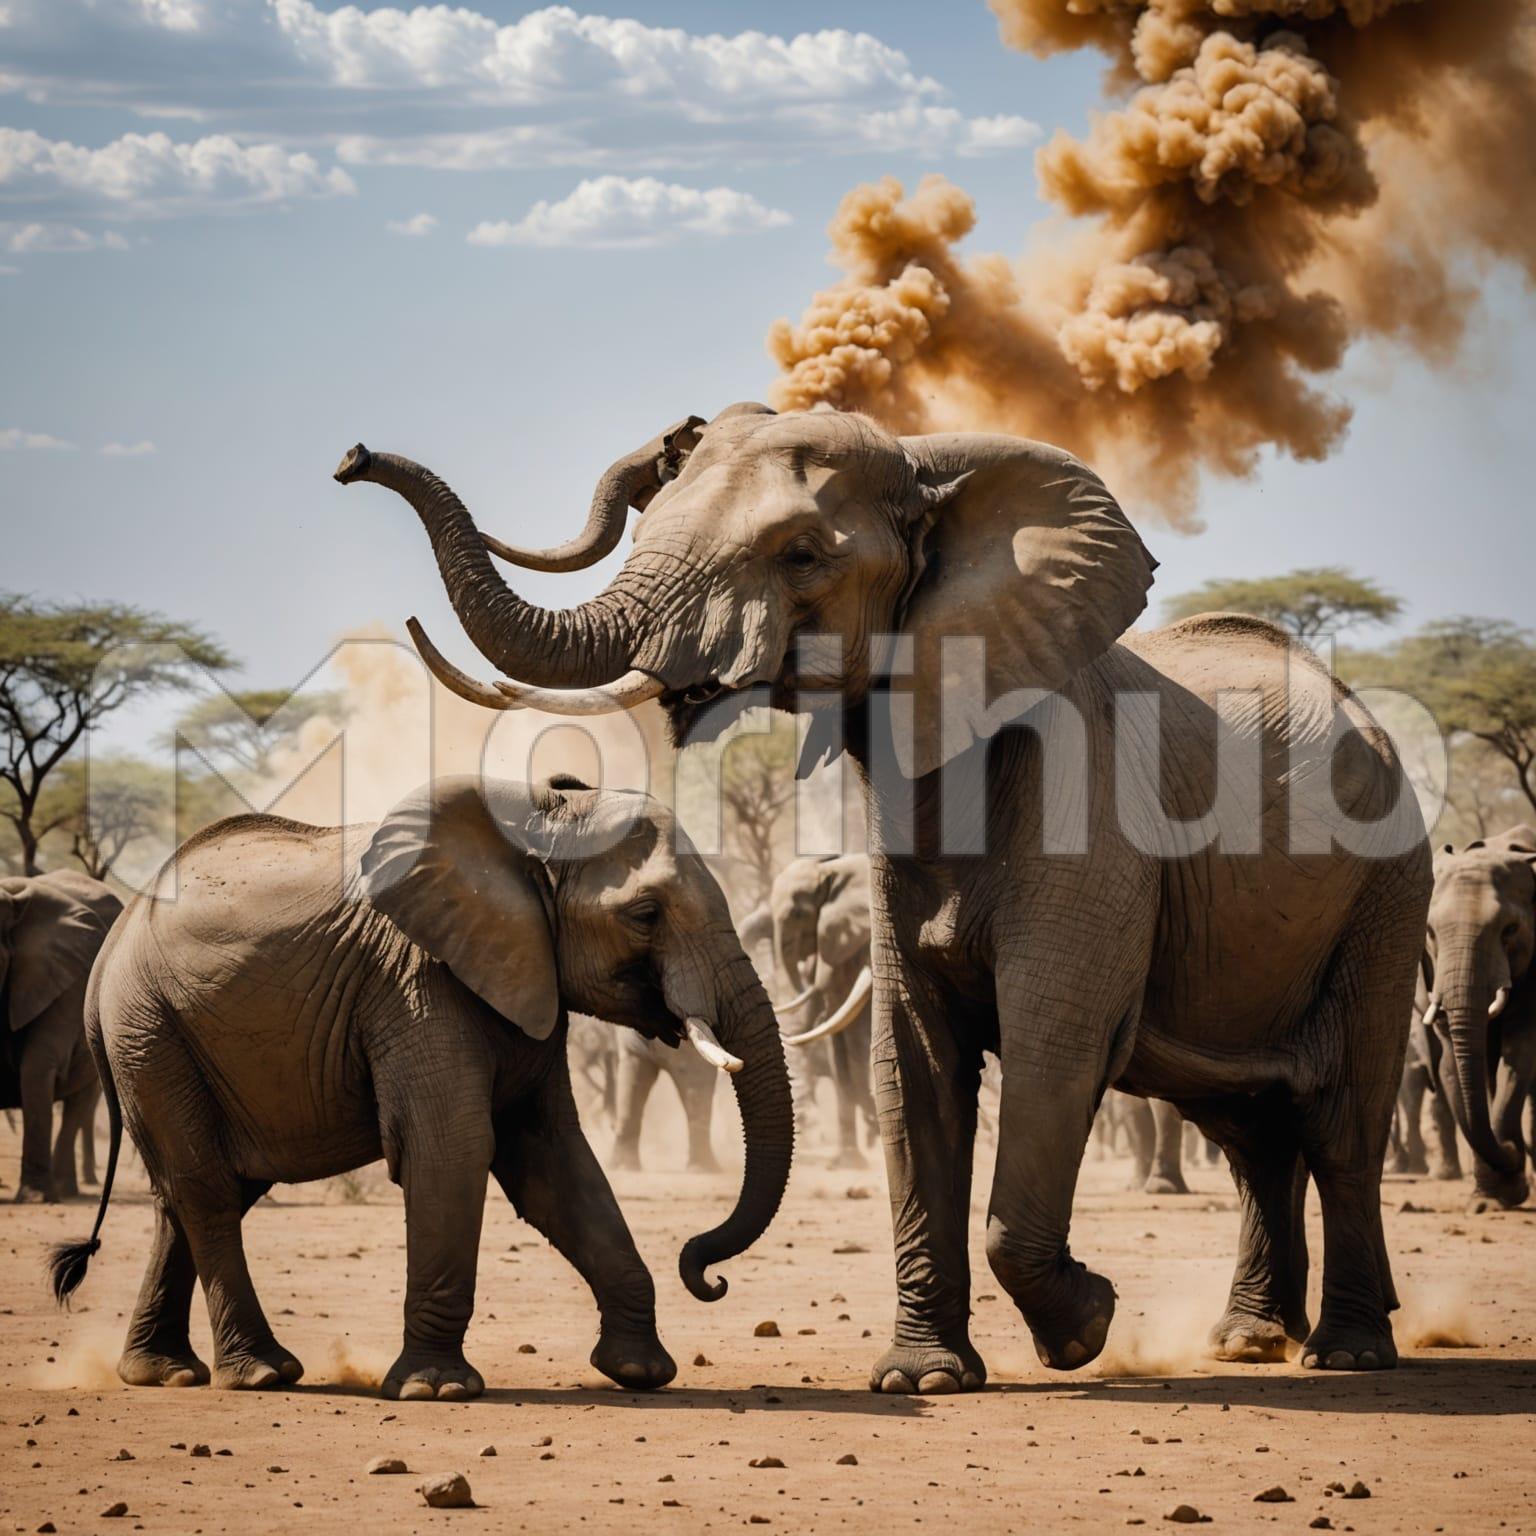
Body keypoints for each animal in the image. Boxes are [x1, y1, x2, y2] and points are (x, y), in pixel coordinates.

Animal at [49, 775, 793, 1399]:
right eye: (645, 915)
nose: (711, 1277)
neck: (536, 821)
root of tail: (109, 950)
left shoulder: (522, 977)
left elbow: (551, 1157)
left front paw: (640, 1372)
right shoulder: (416, 981)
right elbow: (453, 1147)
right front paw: (437, 1389)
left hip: (170, 1039)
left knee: (197, 1192)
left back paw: (162, 1373)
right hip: (148, 1029)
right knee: (206, 1189)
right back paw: (262, 1374)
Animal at [1419, 825, 1536, 1209]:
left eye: (1510, 930)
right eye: (1430, 932)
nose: (1513, 1148)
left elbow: (1519, 1052)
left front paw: (1508, 1189)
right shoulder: (1430, 970)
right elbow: (1453, 1063)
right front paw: (1489, 1200)